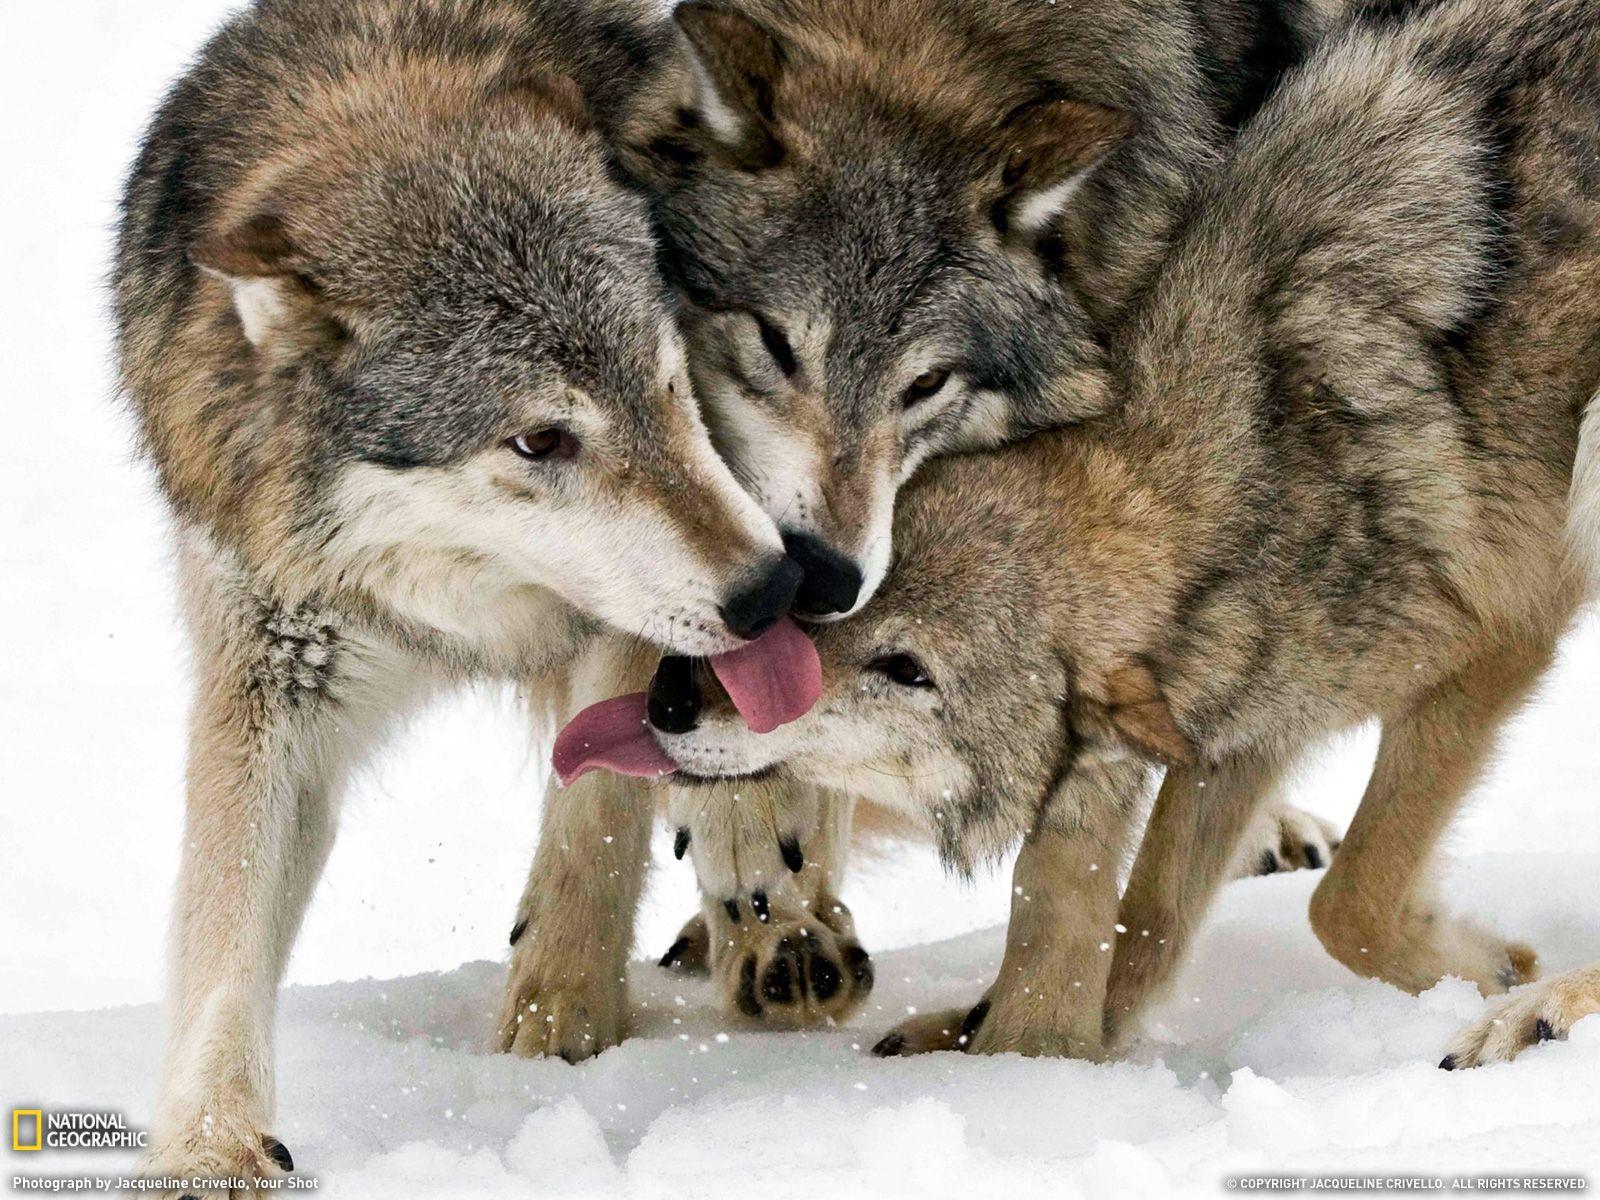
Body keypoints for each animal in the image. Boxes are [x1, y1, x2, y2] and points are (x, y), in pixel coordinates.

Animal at [113, 0, 816, 1186]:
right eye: (539, 440)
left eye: (668, 380)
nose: (771, 589)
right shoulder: (271, 670)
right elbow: (221, 923)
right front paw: (209, 1146)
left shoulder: (630, 630)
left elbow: (596, 819)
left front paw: (560, 1021)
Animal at [644, 0, 1600, 1060]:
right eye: (813, 619)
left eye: (907, 670)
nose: (672, 698)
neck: (1246, 464)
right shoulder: (1235, 726)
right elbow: (1140, 930)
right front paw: (1020, 1045)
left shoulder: (1494, 649)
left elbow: (1343, 904)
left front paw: (1491, 969)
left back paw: (1545, 1011)